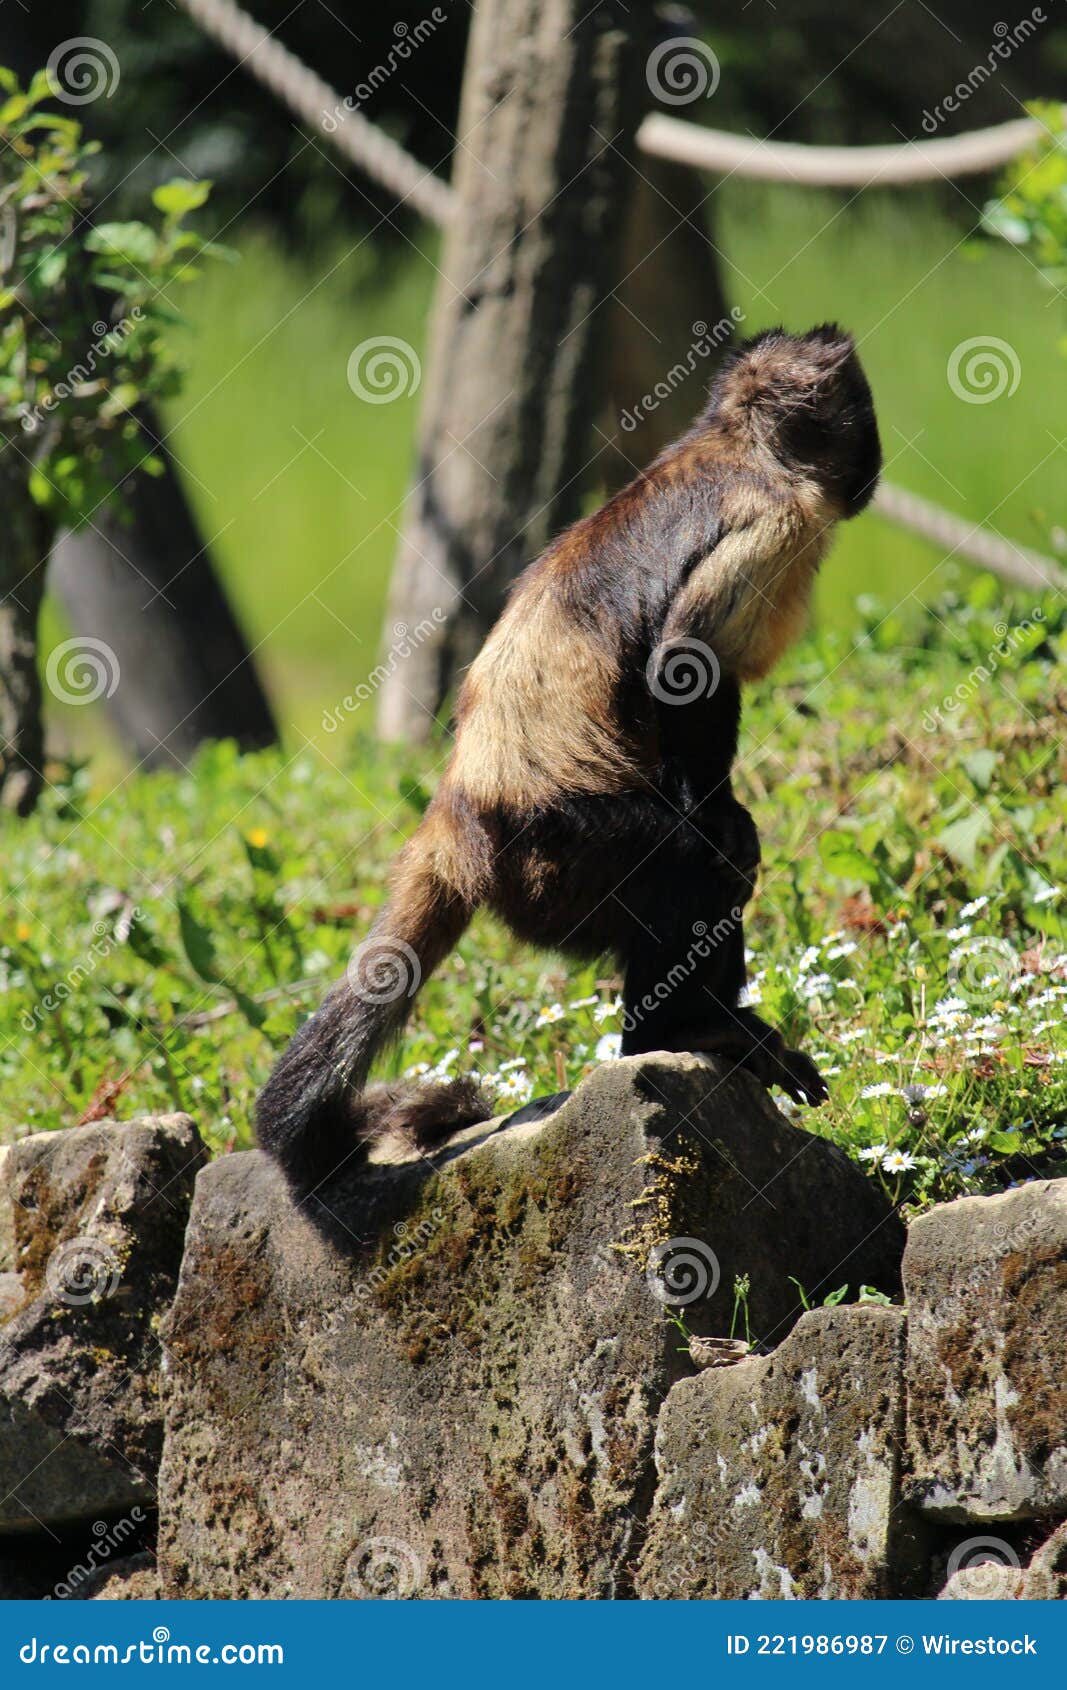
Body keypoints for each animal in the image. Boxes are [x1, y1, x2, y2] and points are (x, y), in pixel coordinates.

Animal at [256, 324, 881, 1194]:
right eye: (857, 411)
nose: (874, 456)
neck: (734, 445)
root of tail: (459, 813)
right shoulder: (773, 521)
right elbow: (680, 664)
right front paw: (714, 812)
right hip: (555, 855)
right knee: (694, 862)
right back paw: (680, 1028)